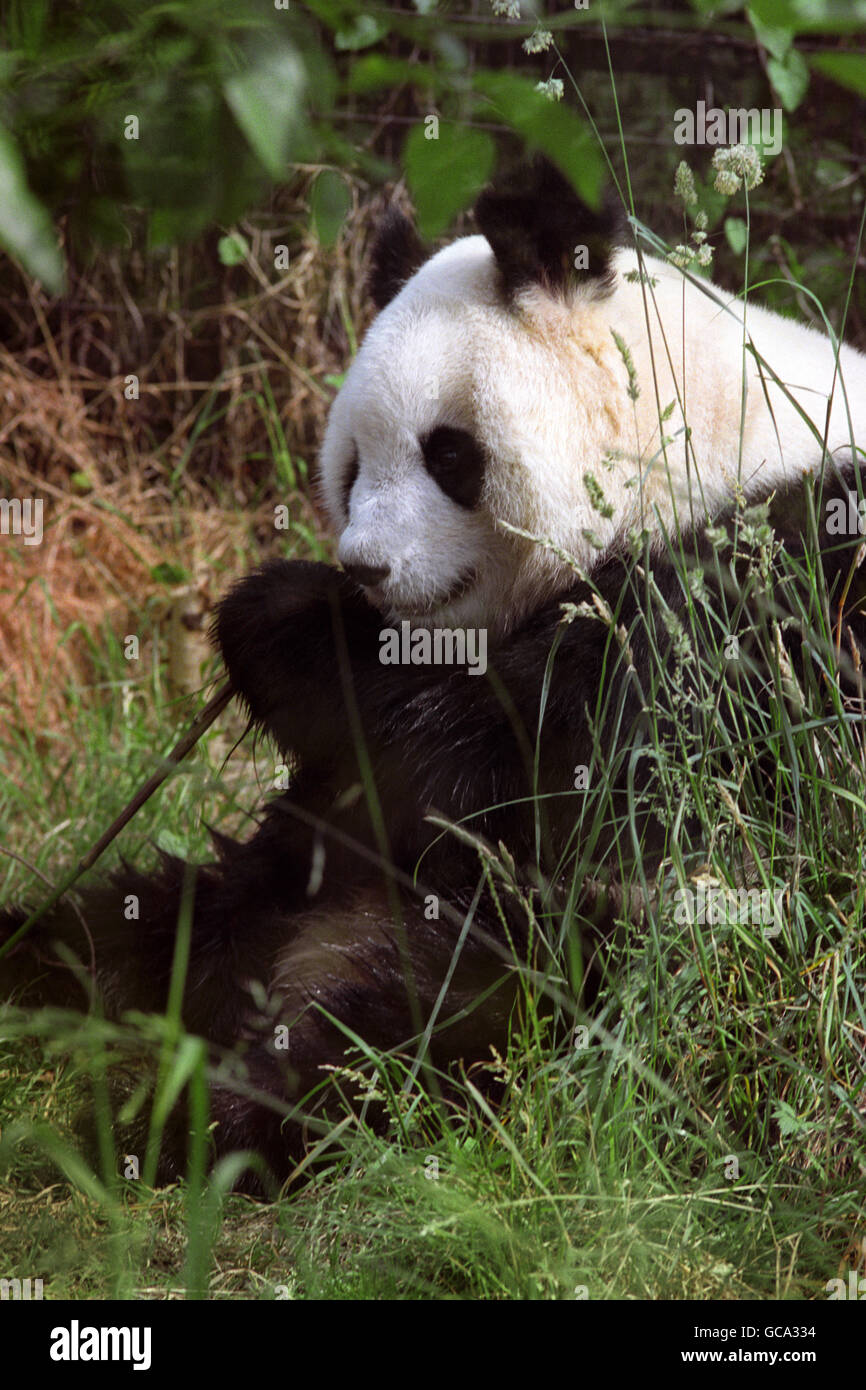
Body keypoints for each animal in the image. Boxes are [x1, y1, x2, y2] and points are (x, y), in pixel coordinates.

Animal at [2, 156, 865, 1191]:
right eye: (349, 465)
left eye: (448, 453)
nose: (367, 567)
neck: (706, 433)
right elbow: (375, 786)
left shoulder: (779, 588)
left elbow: (533, 764)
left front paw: (287, 617)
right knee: (148, 922)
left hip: (606, 945)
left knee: (450, 1011)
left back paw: (207, 1116)